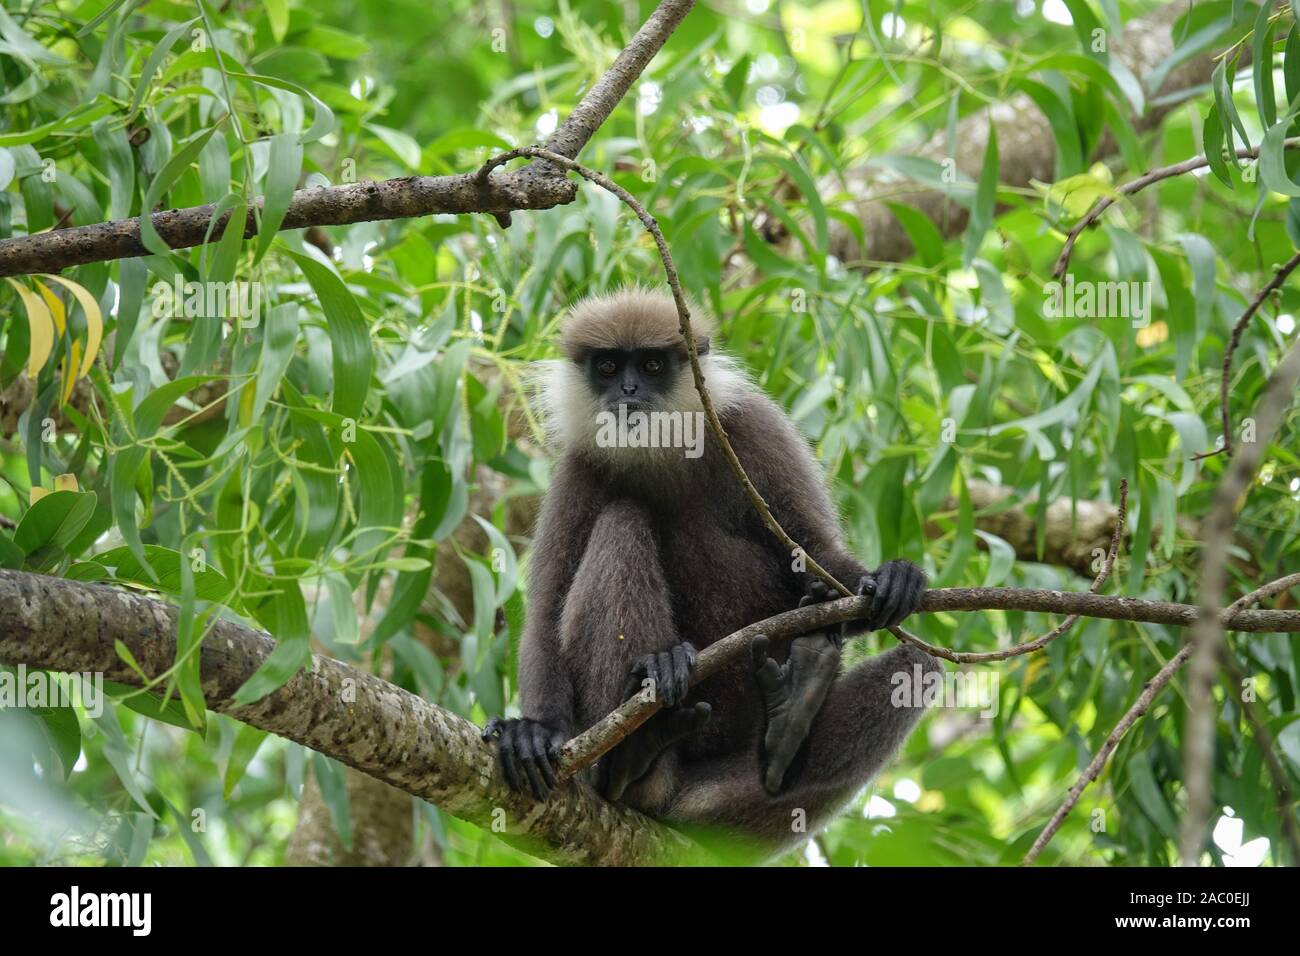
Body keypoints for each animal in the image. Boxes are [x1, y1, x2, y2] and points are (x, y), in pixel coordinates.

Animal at [482, 287, 939, 860]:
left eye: (652, 365)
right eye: (607, 366)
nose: (628, 390)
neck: (661, 453)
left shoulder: (752, 428)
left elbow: (817, 559)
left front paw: (884, 577)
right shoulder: (578, 469)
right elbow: (545, 613)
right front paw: (534, 731)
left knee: (919, 665)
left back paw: (790, 715)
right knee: (621, 522)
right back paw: (637, 753)